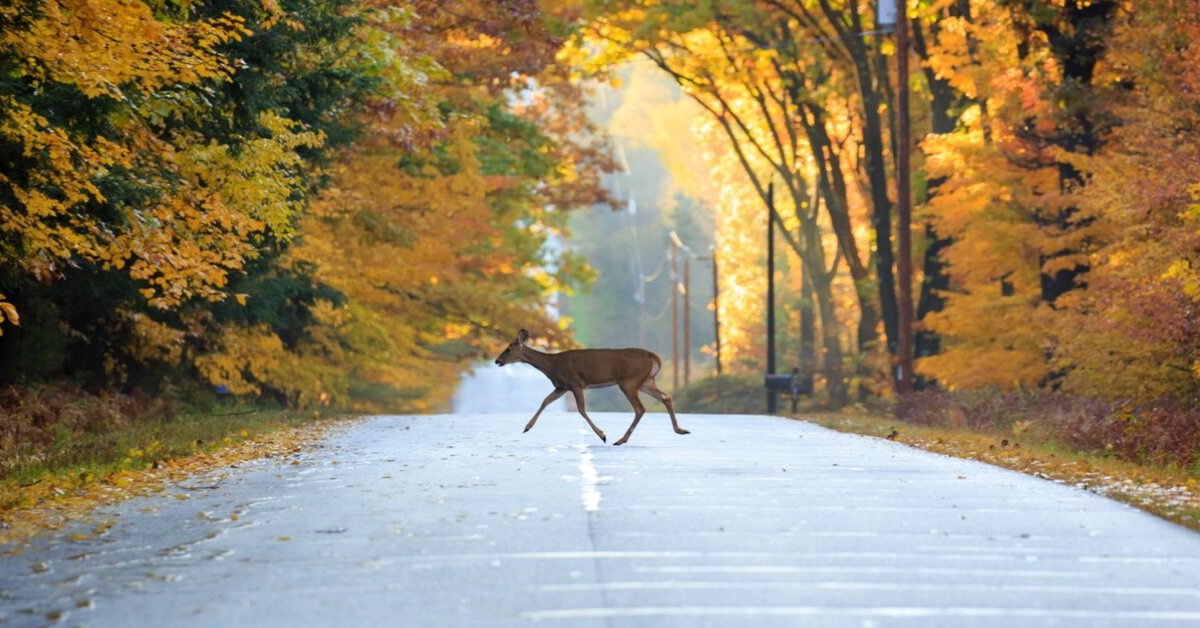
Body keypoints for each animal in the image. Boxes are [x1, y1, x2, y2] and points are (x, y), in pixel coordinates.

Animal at [493, 329, 689, 446]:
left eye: (509, 348)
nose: (497, 360)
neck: (552, 366)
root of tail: (654, 358)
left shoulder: (575, 382)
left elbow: (581, 409)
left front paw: (602, 435)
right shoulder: (562, 386)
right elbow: (545, 401)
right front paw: (528, 426)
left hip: (629, 381)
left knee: (640, 408)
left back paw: (621, 439)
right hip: (646, 381)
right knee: (666, 396)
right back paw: (680, 429)